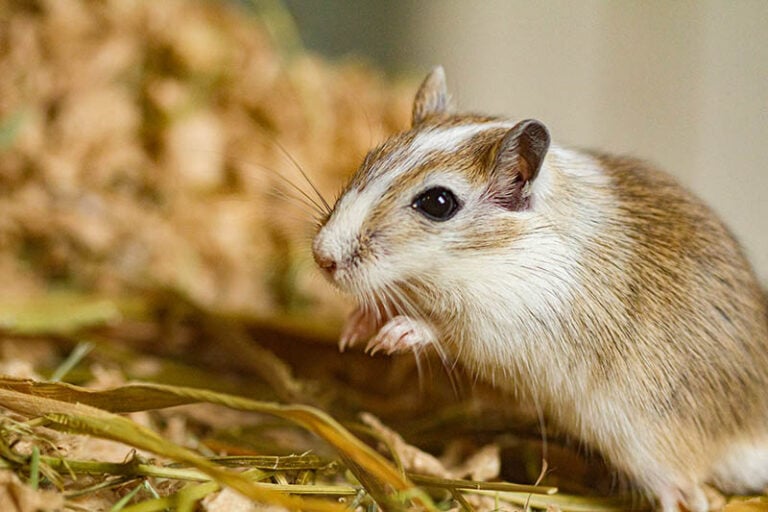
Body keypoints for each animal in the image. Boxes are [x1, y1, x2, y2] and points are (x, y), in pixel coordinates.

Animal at [311, 66, 768, 511]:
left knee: (690, 495)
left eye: (438, 203)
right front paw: (354, 330)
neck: (497, 252)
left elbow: (442, 328)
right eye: (369, 158)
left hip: (650, 447)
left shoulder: (503, 321)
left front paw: (395, 335)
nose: (322, 257)